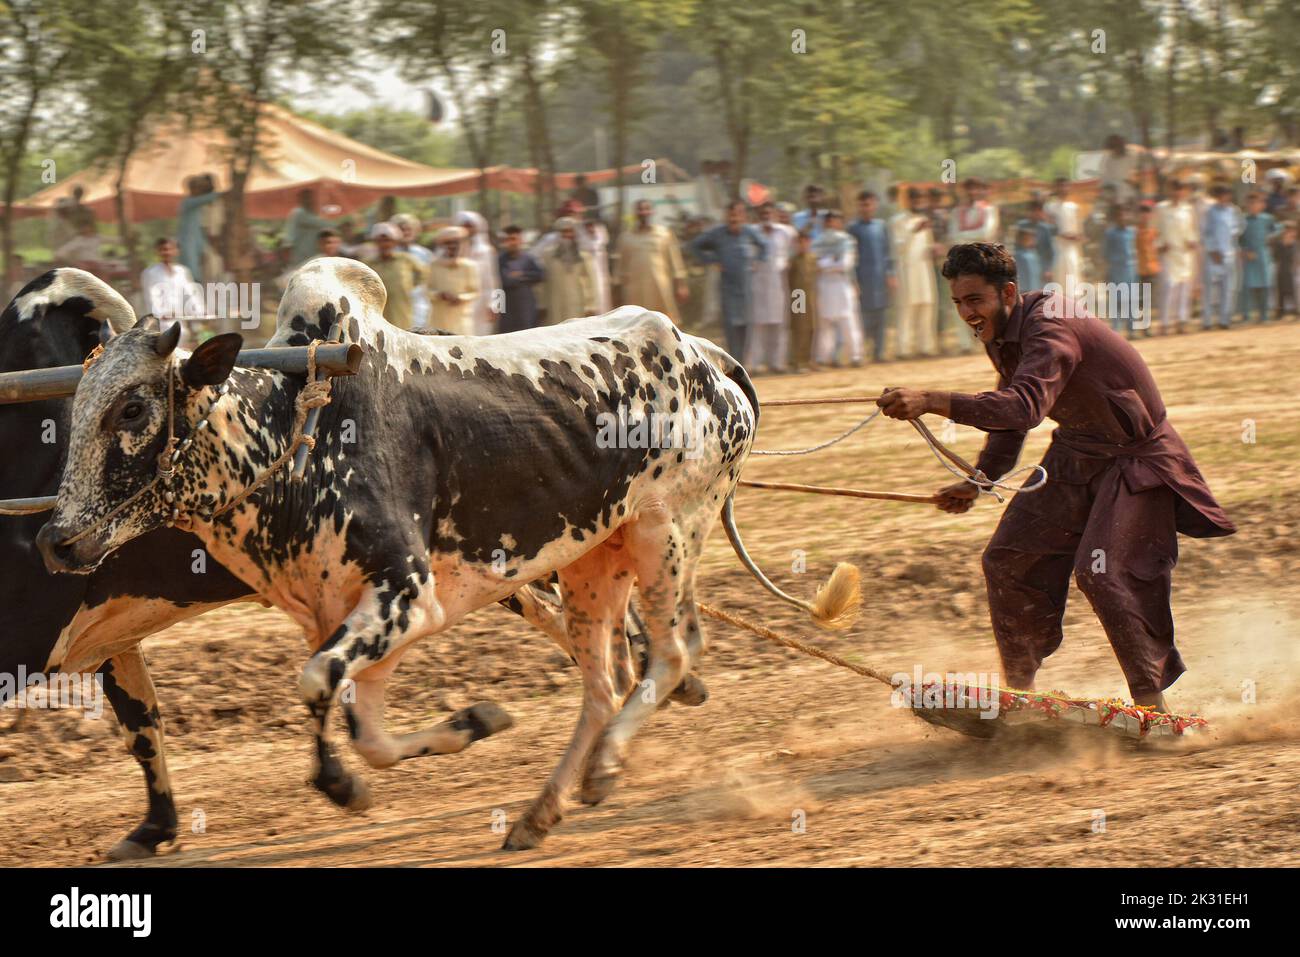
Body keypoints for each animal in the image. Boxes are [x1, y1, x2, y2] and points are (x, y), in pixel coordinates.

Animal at [36, 258, 859, 849]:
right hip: (594, 562)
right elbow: (369, 732)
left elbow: (316, 686)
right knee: (607, 681)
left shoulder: (405, 592)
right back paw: (541, 810)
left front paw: (338, 783)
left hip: (668, 534)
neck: (295, 432)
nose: (54, 539)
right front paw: (473, 723)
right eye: (73, 412)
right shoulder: (358, 616)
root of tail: (705, 353)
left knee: (670, 655)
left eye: (132, 408)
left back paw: (603, 771)